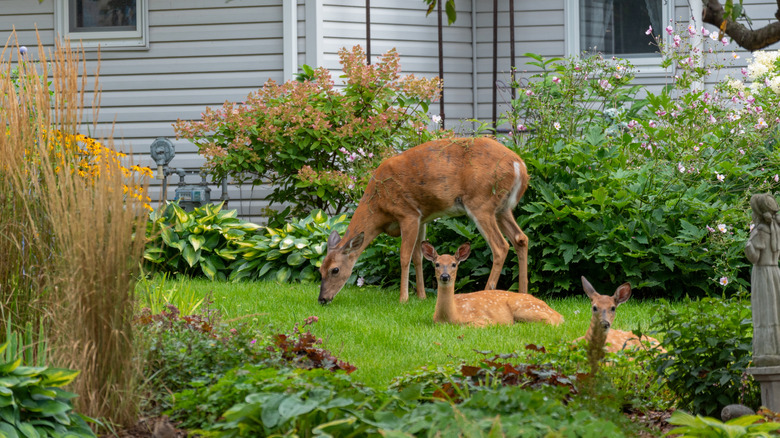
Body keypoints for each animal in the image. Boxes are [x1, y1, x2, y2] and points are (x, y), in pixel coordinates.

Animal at [318, 137, 530, 305]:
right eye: (320, 269)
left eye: (335, 270)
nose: (322, 299)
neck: (378, 207)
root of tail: (519, 165)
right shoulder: (422, 219)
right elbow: (418, 257)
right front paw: (421, 296)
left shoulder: (408, 213)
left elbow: (404, 256)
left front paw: (403, 298)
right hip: (502, 208)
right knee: (520, 238)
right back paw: (523, 294)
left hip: (481, 202)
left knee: (500, 245)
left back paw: (487, 293)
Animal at [421, 241, 564, 326]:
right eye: (437, 264)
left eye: (454, 264)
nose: (445, 276)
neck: (452, 316)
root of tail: (559, 315)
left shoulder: (483, 318)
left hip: (526, 309)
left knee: (548, 321)